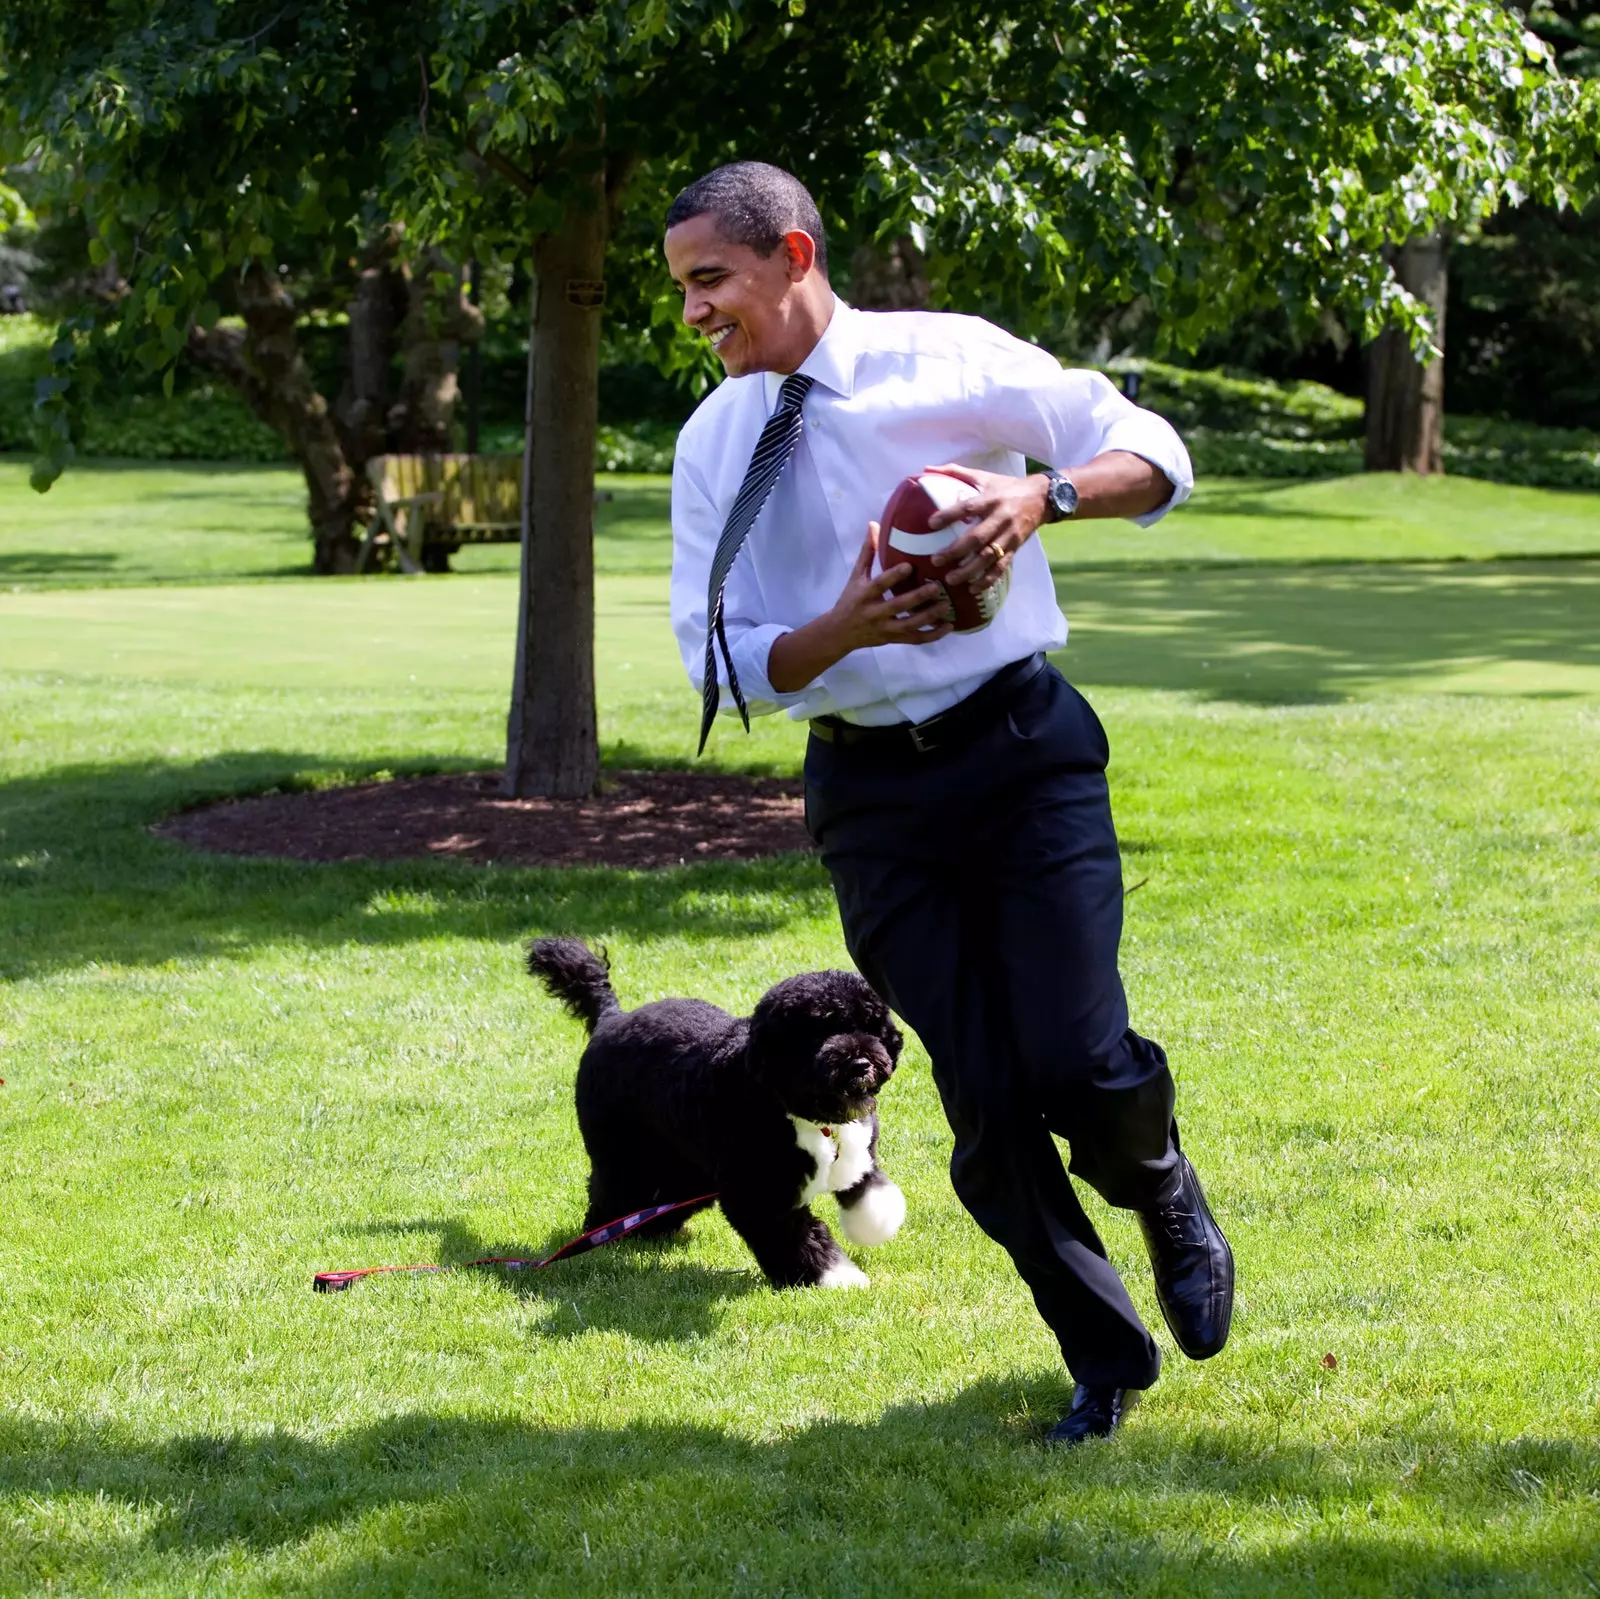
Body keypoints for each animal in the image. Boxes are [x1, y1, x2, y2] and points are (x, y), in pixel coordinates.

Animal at [524, 934, 902, 1286]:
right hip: (622, 1152)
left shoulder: (859, 1152)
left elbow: (869, 1192)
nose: (860, 1063)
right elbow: (800, 1239)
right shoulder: (757, 1193)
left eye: (869, 1026)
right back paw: (603, 1235)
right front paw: (835, 1278)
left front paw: (877, 1225)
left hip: (685, 1164)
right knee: (613, 1191)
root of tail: (611, 1018)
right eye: (817, 1033)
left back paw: (653, 1230)